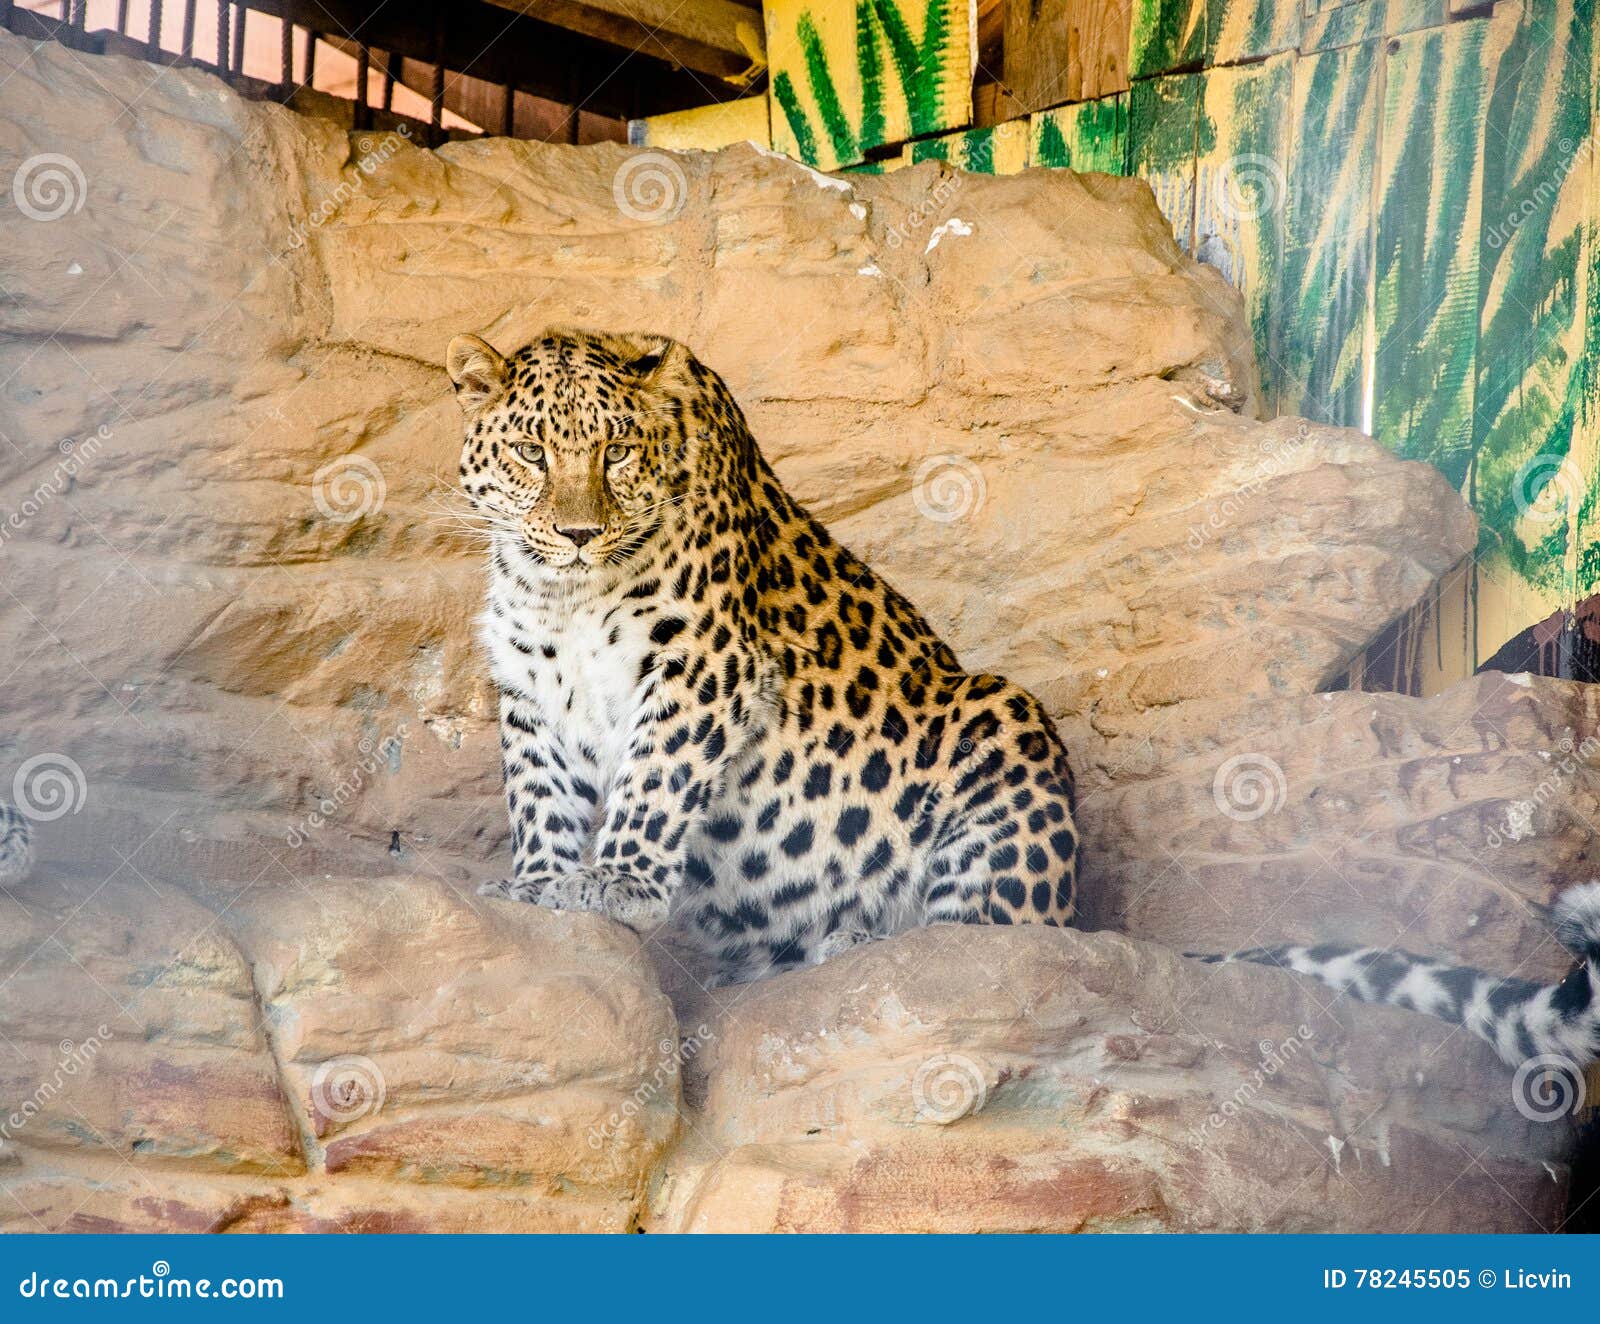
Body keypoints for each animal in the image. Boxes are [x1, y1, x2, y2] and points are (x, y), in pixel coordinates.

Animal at [449, 326, 1600, 1080]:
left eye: (615, 452)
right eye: (531, 454)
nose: (579, 531)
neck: (565, 591)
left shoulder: (702, 669)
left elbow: (652, 784)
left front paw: (617, 884)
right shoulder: (531, 692)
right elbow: (540, 795)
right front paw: (540, 882)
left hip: (1002, 732)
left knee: (990, 949)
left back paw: (881, 950)